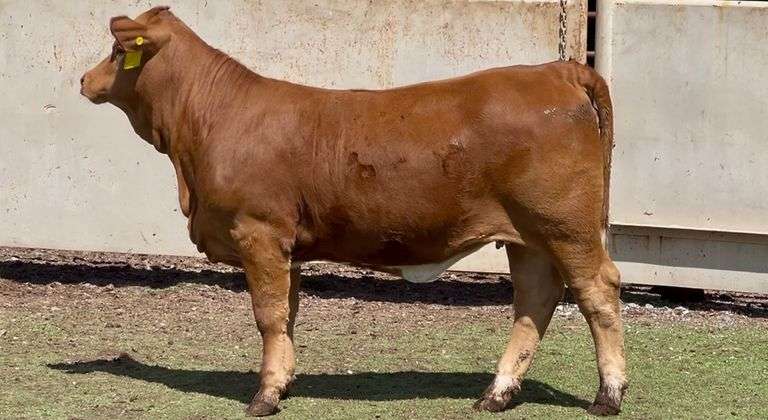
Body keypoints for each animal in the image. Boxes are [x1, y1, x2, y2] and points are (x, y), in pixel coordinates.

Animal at [80, 6, 627, 417]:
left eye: (117, 51)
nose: (85, 79)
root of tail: (555, 69)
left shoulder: (259, 233)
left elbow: (268, 316)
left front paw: (265, 395)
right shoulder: (286, 246)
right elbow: (289, 314)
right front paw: (284, 382)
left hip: (567, 226)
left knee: (598, 291)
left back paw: (608, 395)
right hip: (528, 236)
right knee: (535, 301)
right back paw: (497, 393)